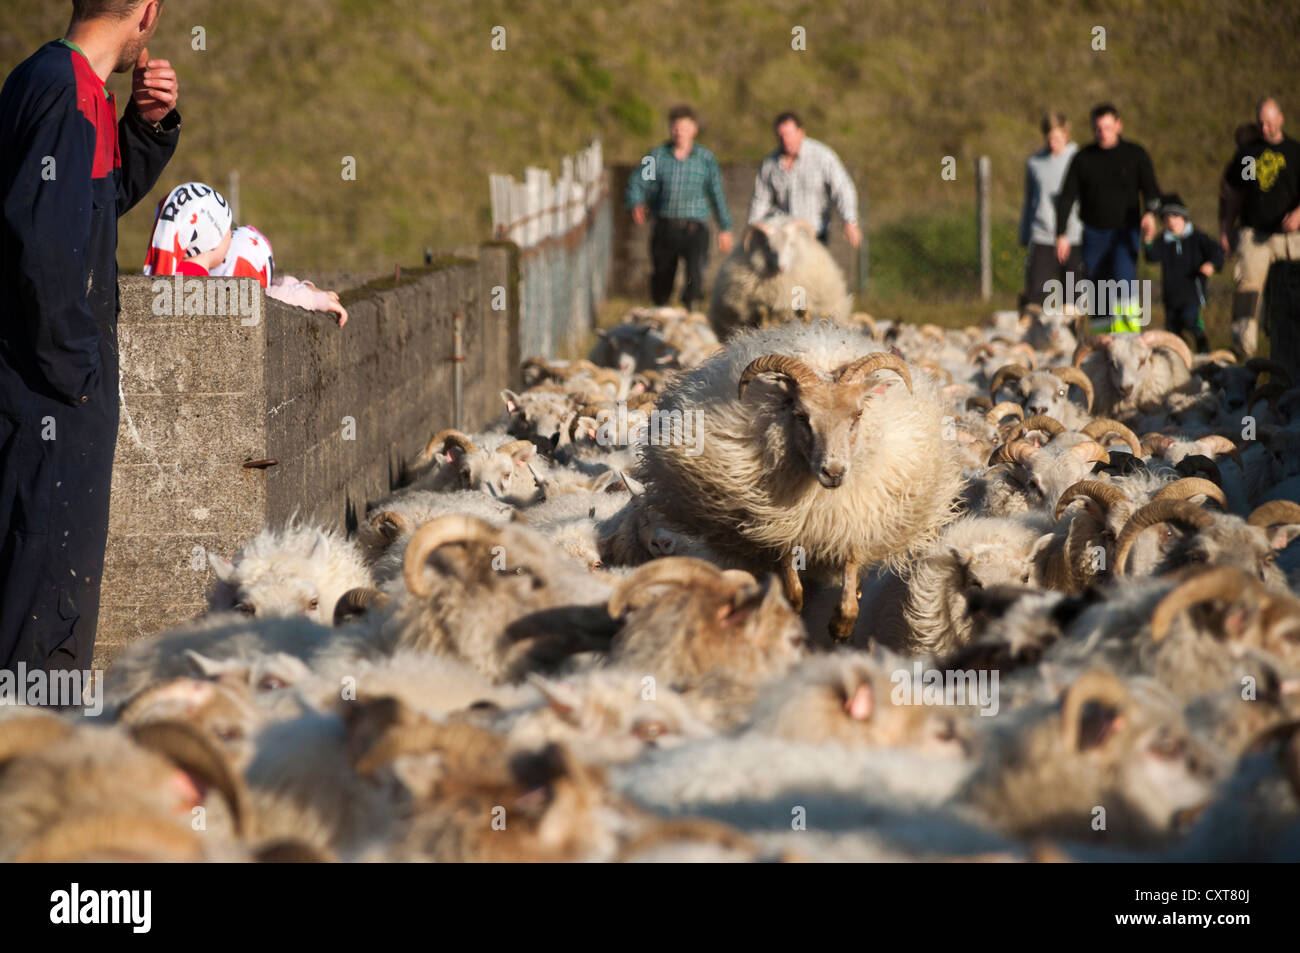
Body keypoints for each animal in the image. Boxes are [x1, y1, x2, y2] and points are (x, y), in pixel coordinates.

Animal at [638, 321, 967, 641]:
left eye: (858, 413)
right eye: (800, 414)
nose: (833, 471)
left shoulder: (857, 517)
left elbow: (851, 572)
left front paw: (842, 624)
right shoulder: (778, 522)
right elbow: (791, 583)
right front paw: (794, 607)